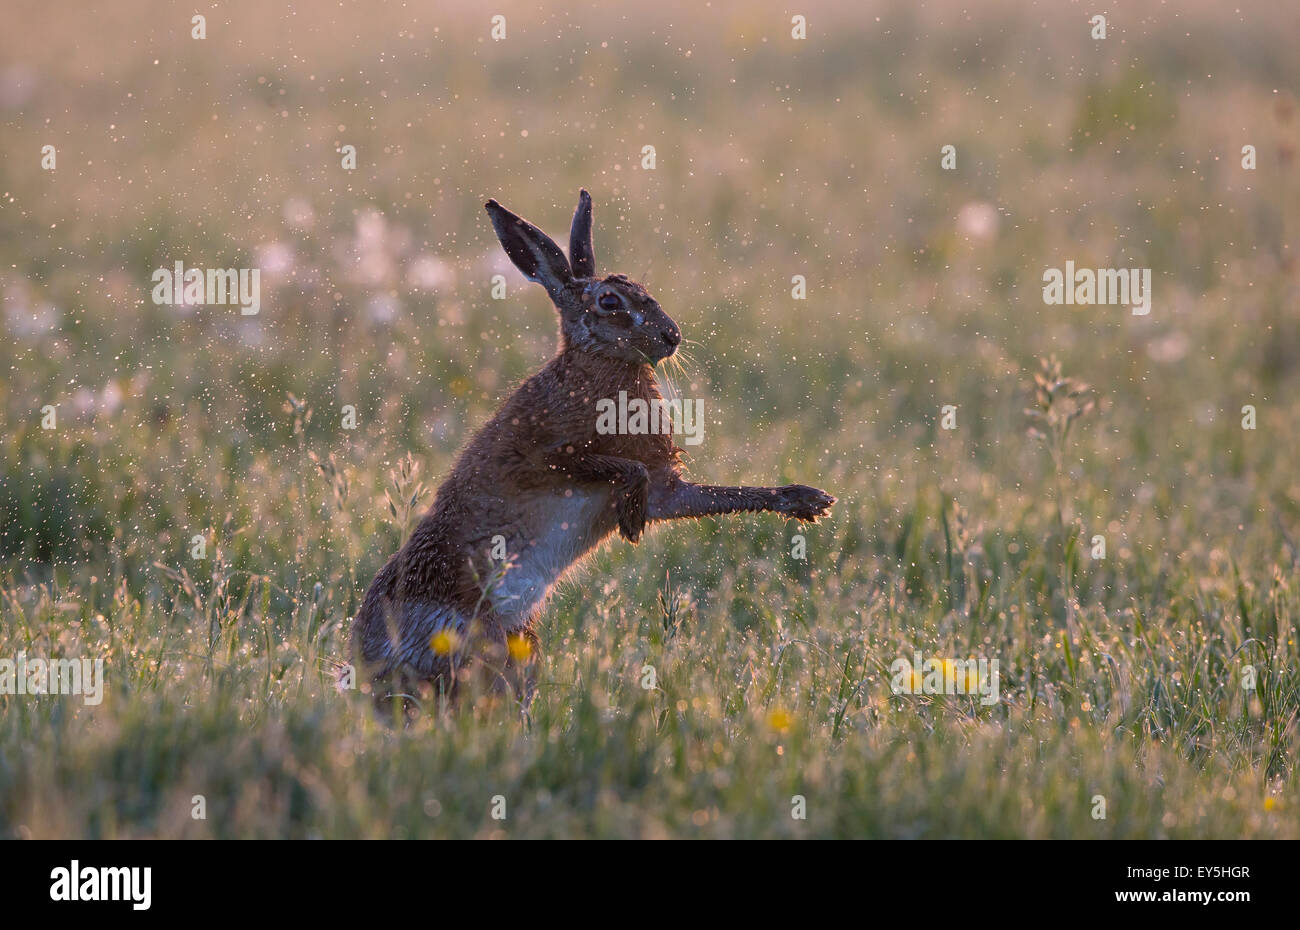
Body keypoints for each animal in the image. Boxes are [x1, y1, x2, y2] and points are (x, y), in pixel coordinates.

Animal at [350, 190, 834, 714]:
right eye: (609, 302)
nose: (672, 336)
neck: (602, 364)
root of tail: (362, 668)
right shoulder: (546, 457)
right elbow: (624, 468)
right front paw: (632, 521)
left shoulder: (669, 491)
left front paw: (808, 501)